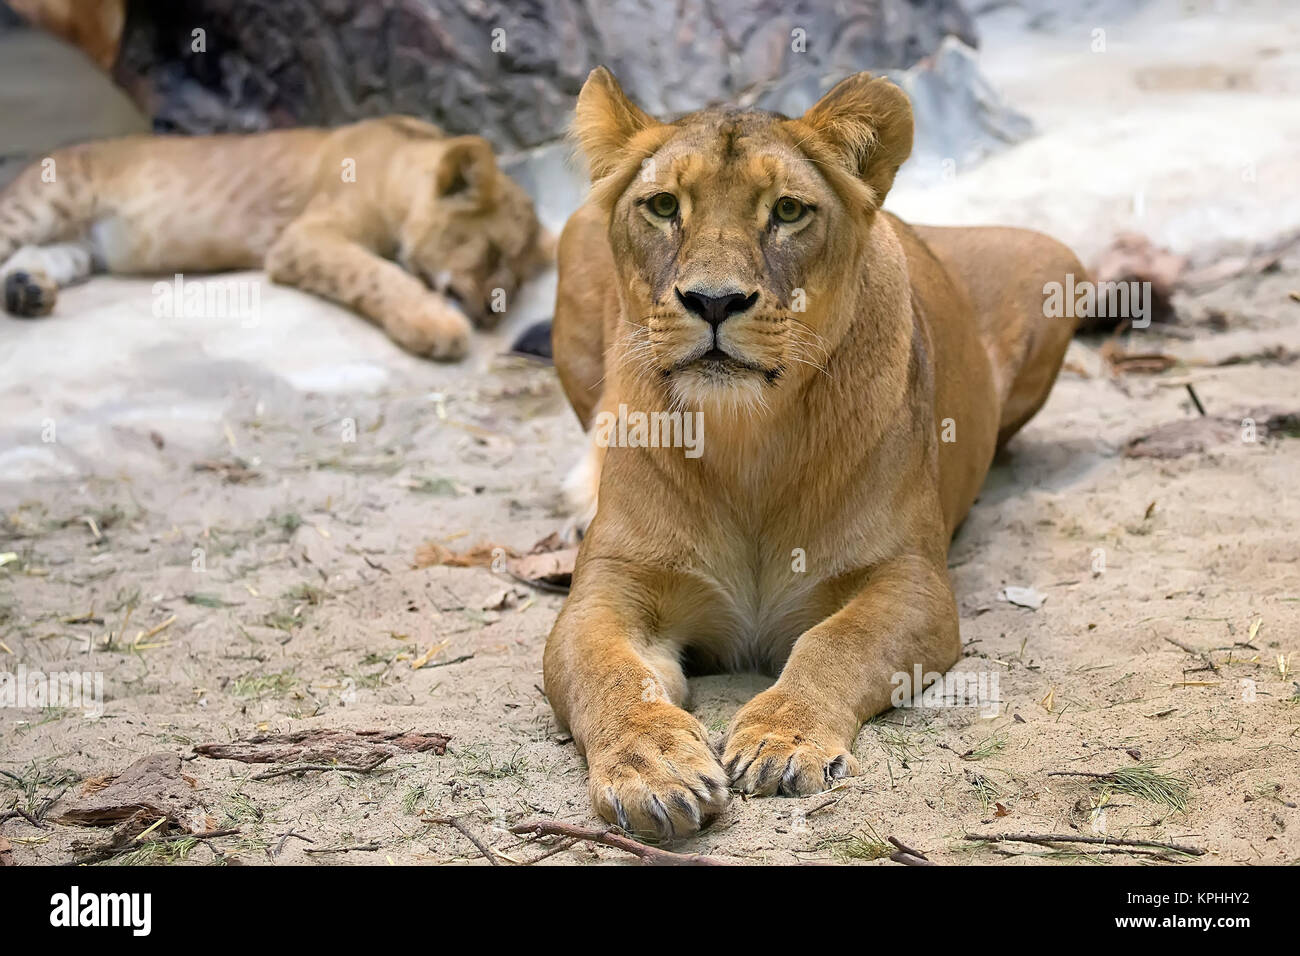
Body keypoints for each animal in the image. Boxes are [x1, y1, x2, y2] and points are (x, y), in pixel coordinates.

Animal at [0, 117, 551, 359]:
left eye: (520, 280)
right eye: (490, 252)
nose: (491, 317)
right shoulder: (306, 235)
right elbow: (376, 273)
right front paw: (437, 326)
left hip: (77, 244)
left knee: (40, 255)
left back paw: (27, 291)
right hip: (45, 202)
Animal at [543, 67, 1084, 838]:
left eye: (790, 211)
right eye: (663, 206)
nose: (714, 301)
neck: (745, 439)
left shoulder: (909, 578)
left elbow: (836, 643)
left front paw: (783, 738)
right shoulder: (608, 585)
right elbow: (608, 673)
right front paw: (653, 768)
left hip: (1056, 265)